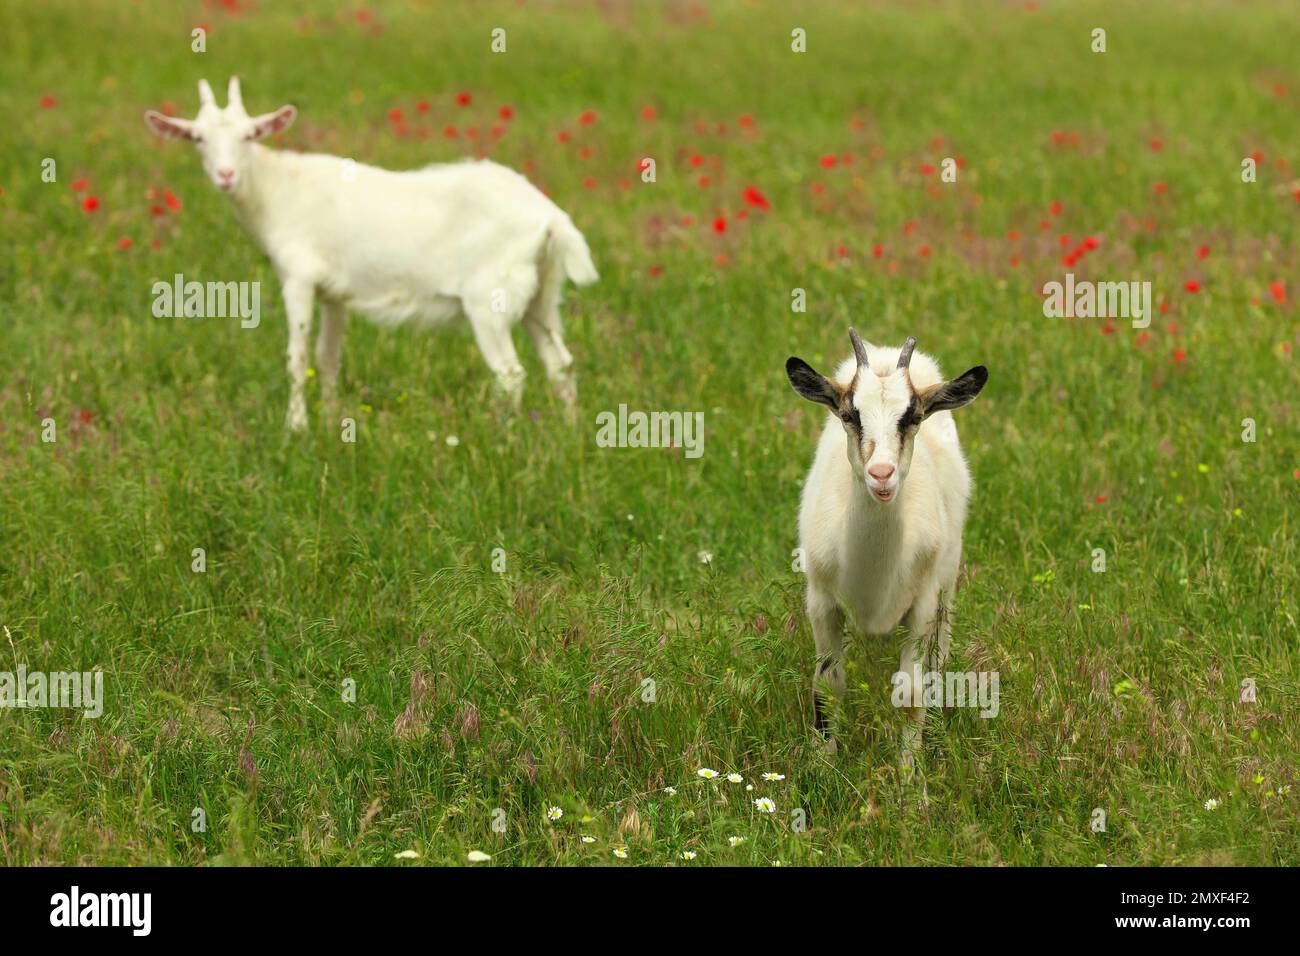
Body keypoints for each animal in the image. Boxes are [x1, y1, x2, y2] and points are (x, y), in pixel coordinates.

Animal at [144, 78, 597, 431]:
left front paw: (296, 429)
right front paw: (329, 425)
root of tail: (550, 218)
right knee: (561, 364)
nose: (226, 175)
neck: (278, 192)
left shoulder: (299, 278)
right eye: (198, 138)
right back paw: (568, 436)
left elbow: (297, 358)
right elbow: (327, 359)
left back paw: (504, 440)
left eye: (250, 134)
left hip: (489, 298)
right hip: (541, 293)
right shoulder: (333, 293)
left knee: (511, 374)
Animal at [785, 329, 987, 765]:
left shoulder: (922, 604)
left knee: (939, 662)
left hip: (946, 588)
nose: (881, 474)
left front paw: (909, 776)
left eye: (912, 417)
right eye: (849, 415)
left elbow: (910, 692)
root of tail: (884, 353)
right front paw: (824, 765)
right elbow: (828, 685)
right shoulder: (821, 601)